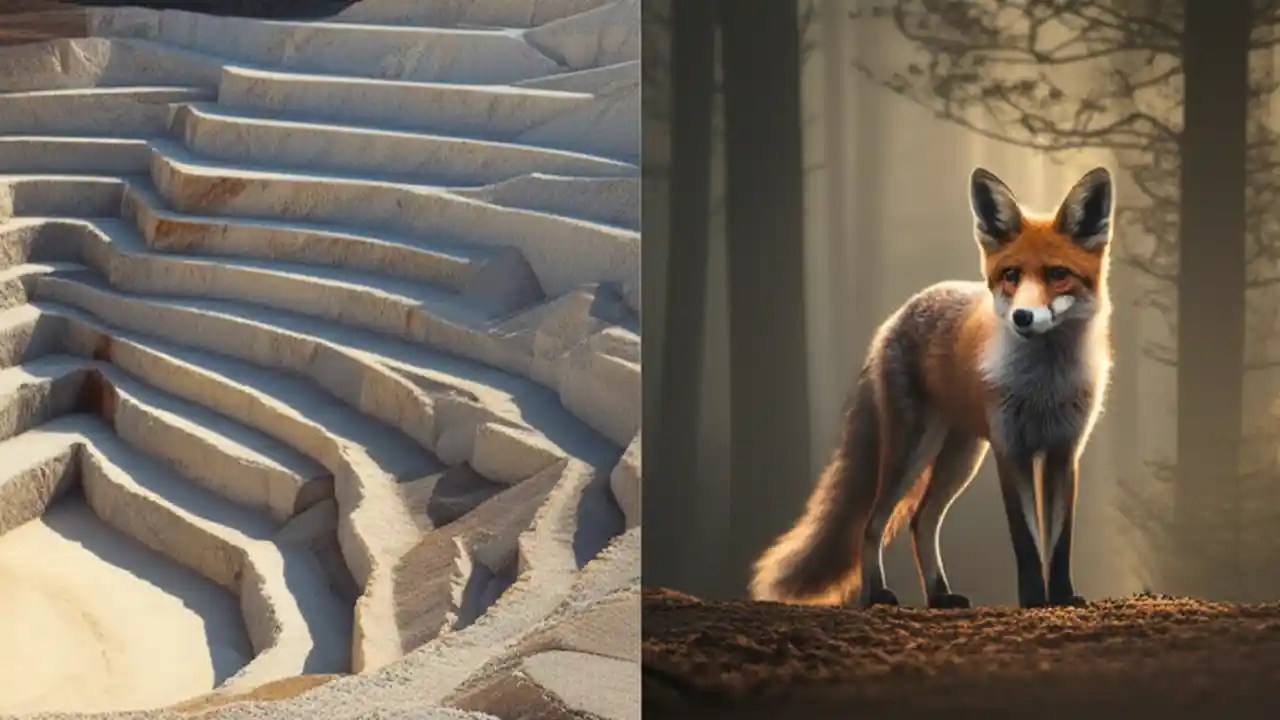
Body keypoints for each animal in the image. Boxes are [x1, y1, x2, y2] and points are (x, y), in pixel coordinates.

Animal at [750, 166, 1115, 610]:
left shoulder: (1064, 453)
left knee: (920, 521)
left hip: (961, 457)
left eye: (1058, 274)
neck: (1044, 385)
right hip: (914, 450)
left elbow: (1059, 543)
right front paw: (1032, 599)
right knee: (872, 524)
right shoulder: (1010, 451)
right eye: (1011, 275)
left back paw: (939, 595)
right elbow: (1026, 542)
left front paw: (1061, 597)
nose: (1023, 317)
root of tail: (900, 313)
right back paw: (876, 595)